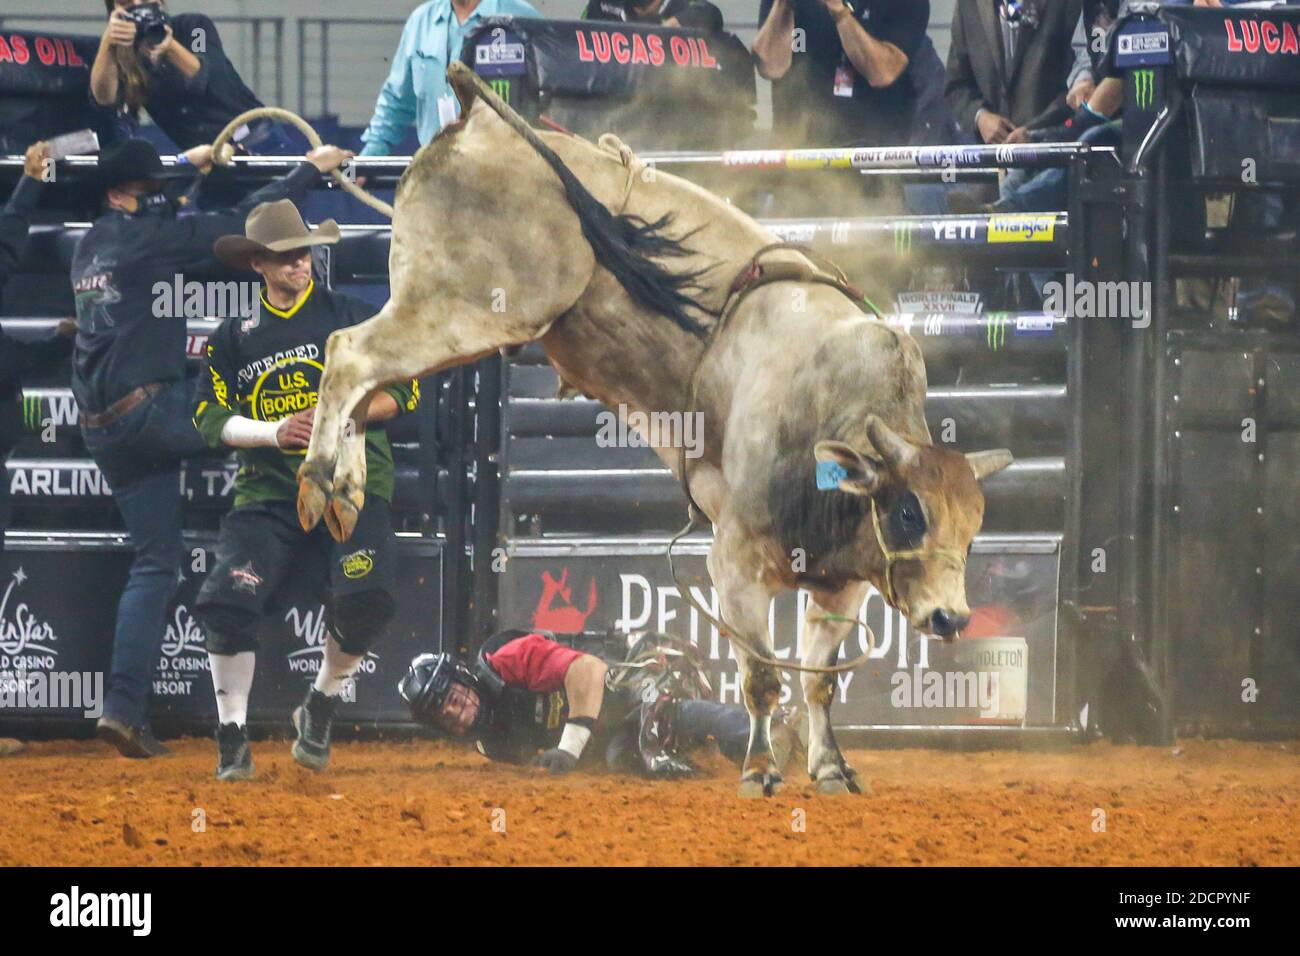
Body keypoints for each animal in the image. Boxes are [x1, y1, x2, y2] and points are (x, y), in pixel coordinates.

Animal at [296, 63, 1012, 797]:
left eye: (972, 528)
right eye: (908, 514)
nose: (951, 617)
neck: (828, 415)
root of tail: (482, 116)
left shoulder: (843, 583)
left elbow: (817, 682)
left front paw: (830, 767)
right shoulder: (736, 561)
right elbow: (762, 678)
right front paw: (760, 769)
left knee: (369, 385)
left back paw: (345, 491)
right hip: (463, 307)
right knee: (350, 352)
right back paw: (321, 481)